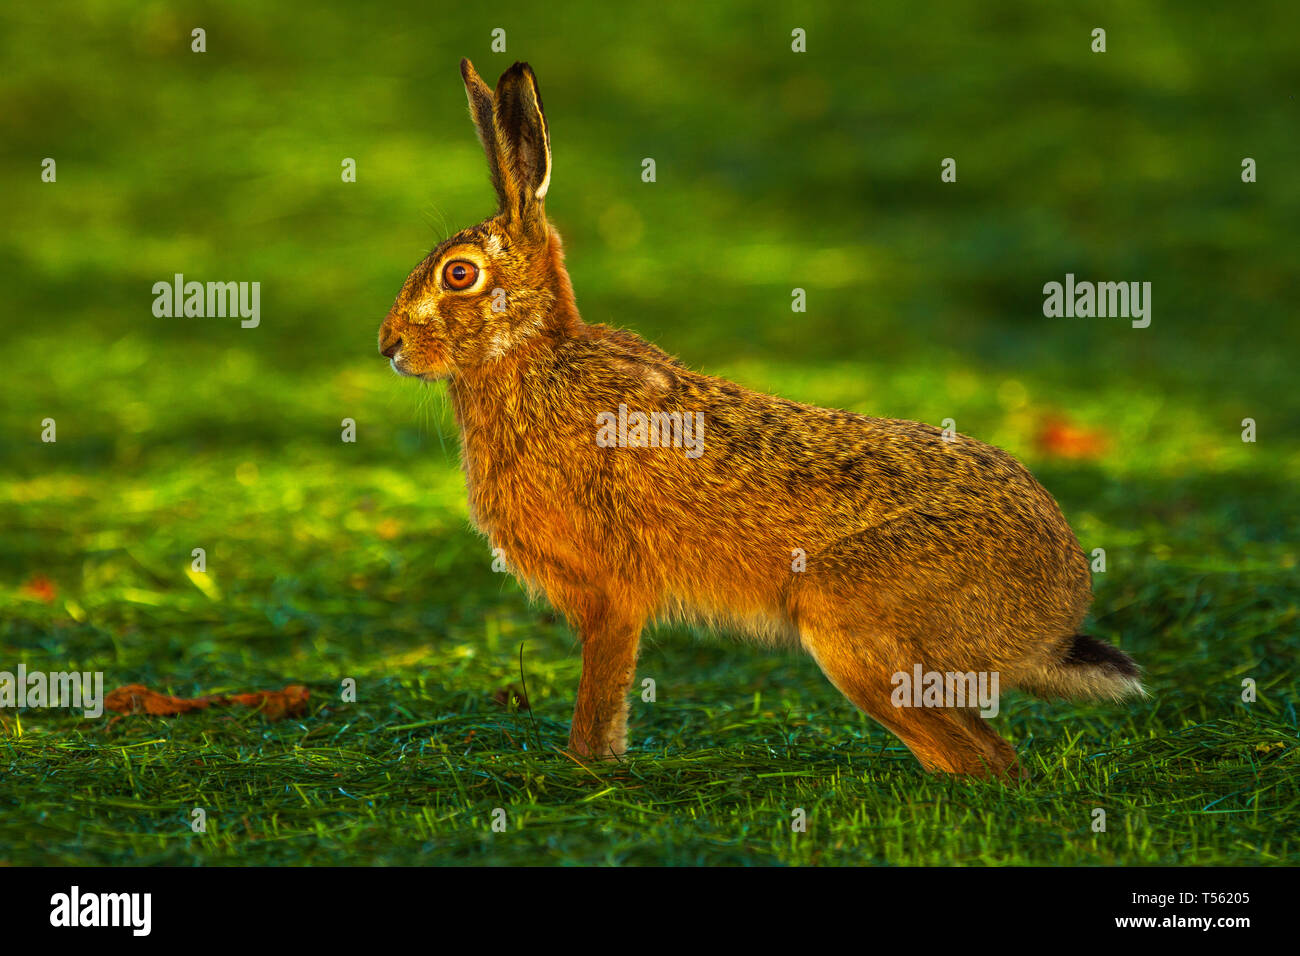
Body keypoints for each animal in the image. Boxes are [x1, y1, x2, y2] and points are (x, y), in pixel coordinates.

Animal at [377, 58, 1144, 779]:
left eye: (459, 275)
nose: (388, 346)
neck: (530, 356)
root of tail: (1054, 617)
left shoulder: (611, 595)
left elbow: (602, 692)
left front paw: (586, 765)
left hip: (852, 627)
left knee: (986, 761)